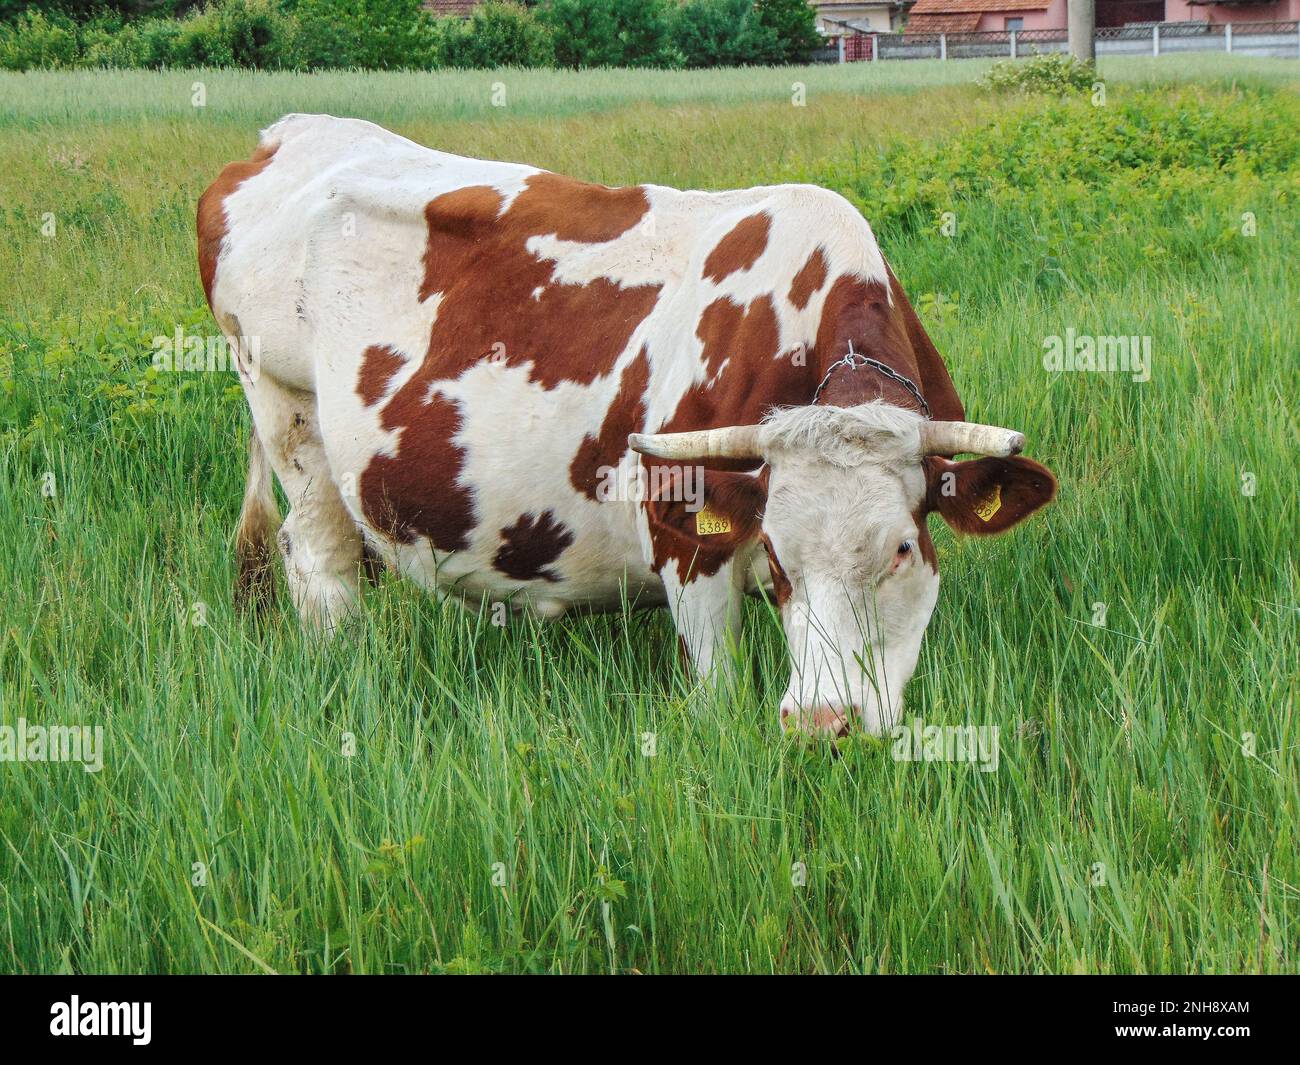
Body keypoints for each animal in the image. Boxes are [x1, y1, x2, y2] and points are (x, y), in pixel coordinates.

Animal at [197, 114, 1057, 738]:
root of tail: (286, 134)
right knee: (320, 561)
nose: (822, 721)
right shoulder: (686, 544)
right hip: (284, 409)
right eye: (779, 555)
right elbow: (715, 695)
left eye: (903, 549)